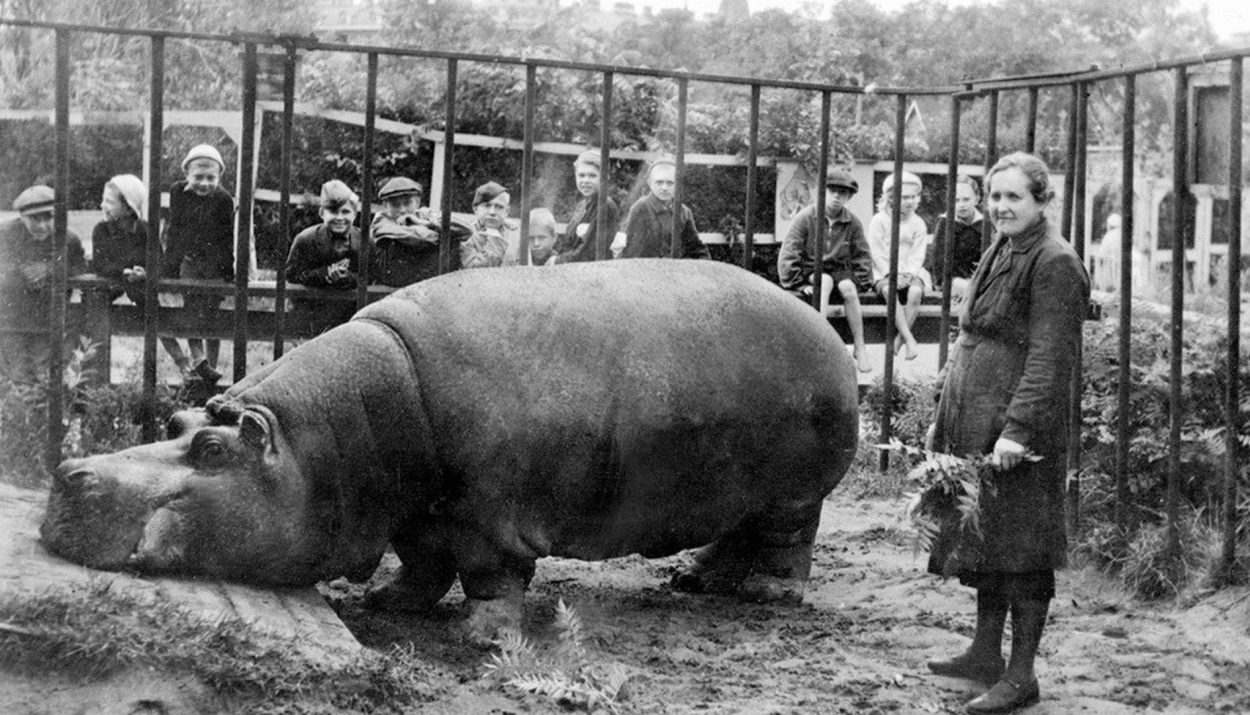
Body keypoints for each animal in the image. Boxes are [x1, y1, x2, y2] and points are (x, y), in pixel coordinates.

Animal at [41, 259, 858, 640]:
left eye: (212, 450)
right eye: (178, 420)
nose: (68, 471)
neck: (326, 438)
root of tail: (826, 330)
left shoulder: (488, 515)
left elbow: (490, 573)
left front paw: (478, 632)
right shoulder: (416, 509)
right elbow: (423, 560)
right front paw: (388, 601)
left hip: (793, 492)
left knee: (787, 542)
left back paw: (764, 594)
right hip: (736, 490)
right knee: (732, 535)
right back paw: (693, 578)